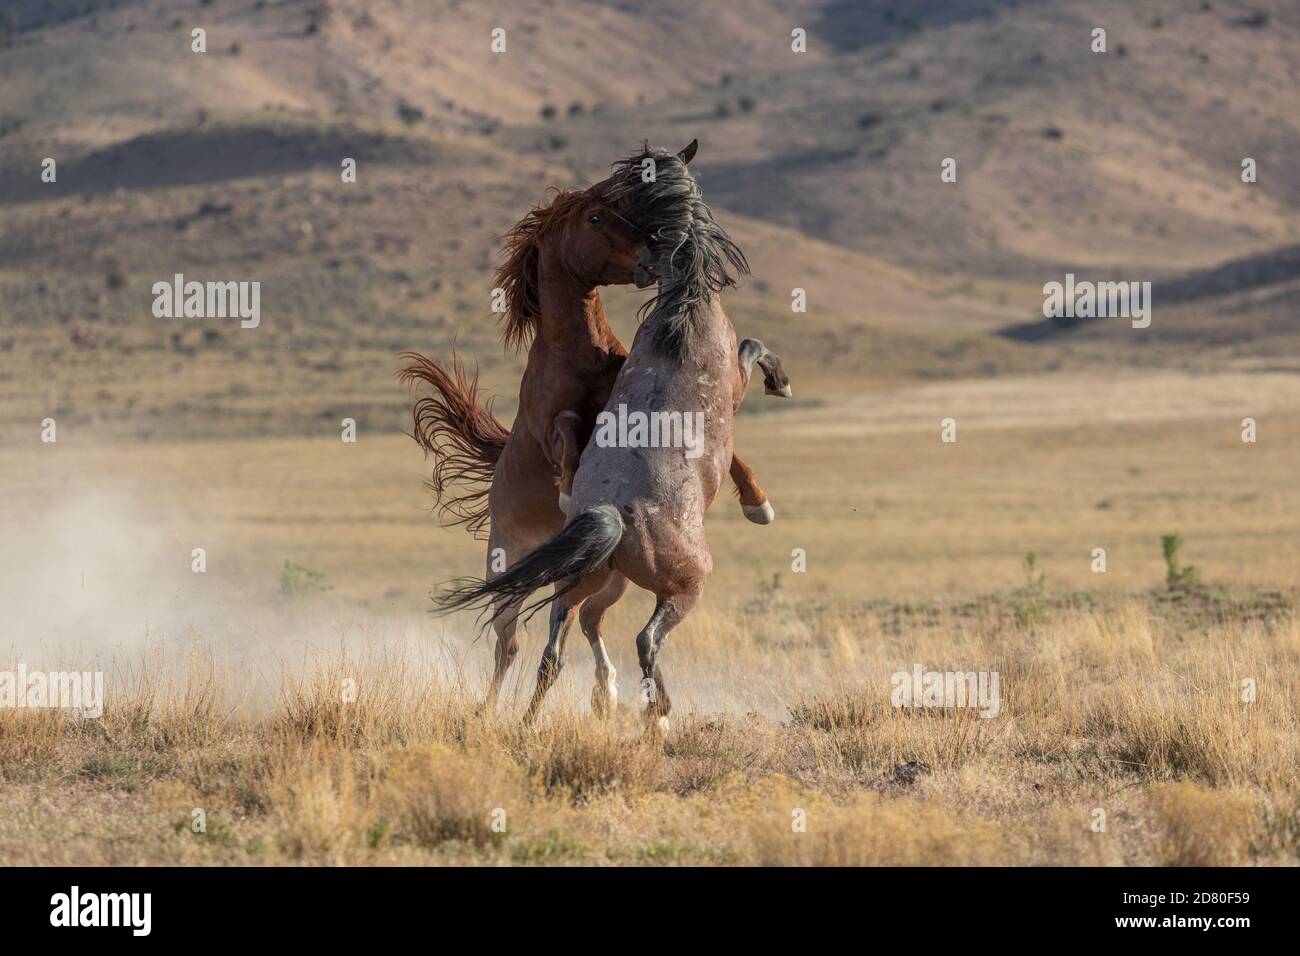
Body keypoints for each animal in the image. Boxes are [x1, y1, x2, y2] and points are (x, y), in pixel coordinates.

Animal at [401, 142, 790, 715]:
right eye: (598, 215)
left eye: (621, 202)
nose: (649, 259)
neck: (682, 311)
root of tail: (616, 517)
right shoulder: (729, 384)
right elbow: (753, 348)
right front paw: (780, 386)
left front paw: (757, 501)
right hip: (618, 586)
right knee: (548, 645)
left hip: (594, 581)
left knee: (565, 636)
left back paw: (588, 697)